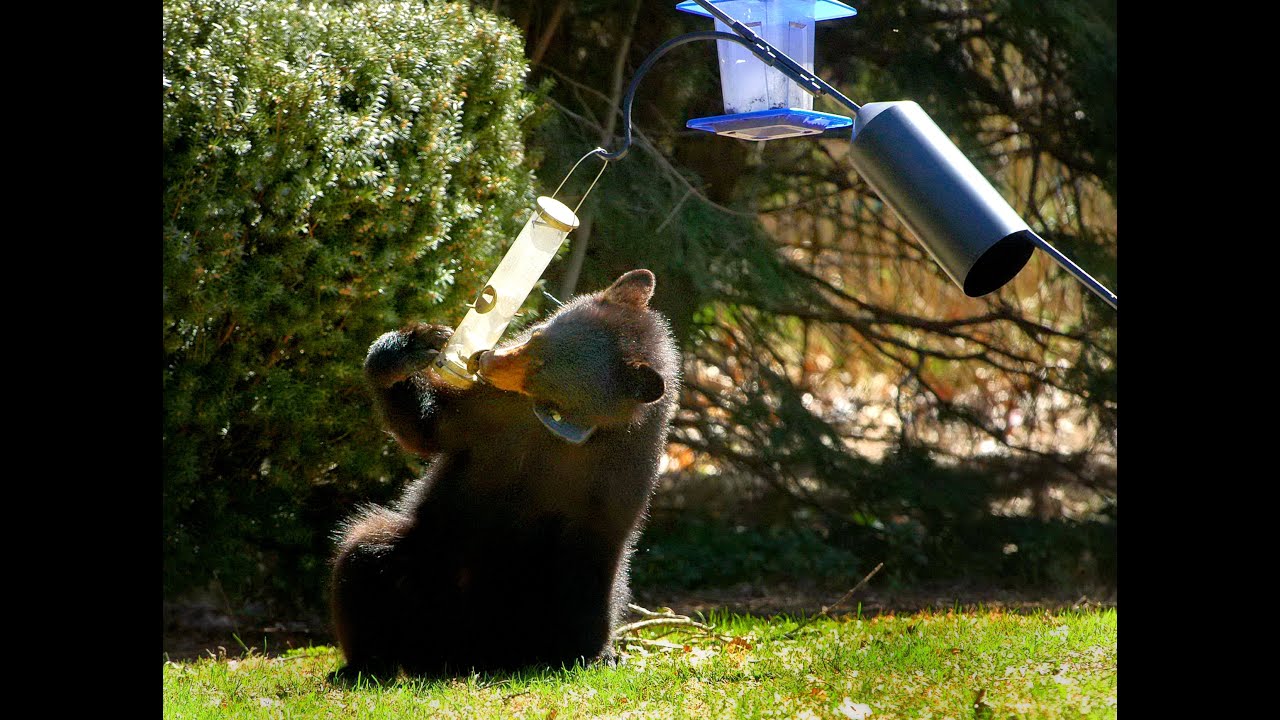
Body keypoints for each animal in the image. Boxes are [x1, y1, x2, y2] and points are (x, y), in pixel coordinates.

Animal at [330, 269, 679, 677]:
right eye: (537, 335)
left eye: (544, 371)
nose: (485, 359)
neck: (555, 424)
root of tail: (469, 654)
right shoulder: (494, 410)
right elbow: (428, 427)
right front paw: (406, 349)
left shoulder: (620, 475)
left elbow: (595, 561)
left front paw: (598, 652)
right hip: (429, 560)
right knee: (365, 555)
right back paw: (366, 663)